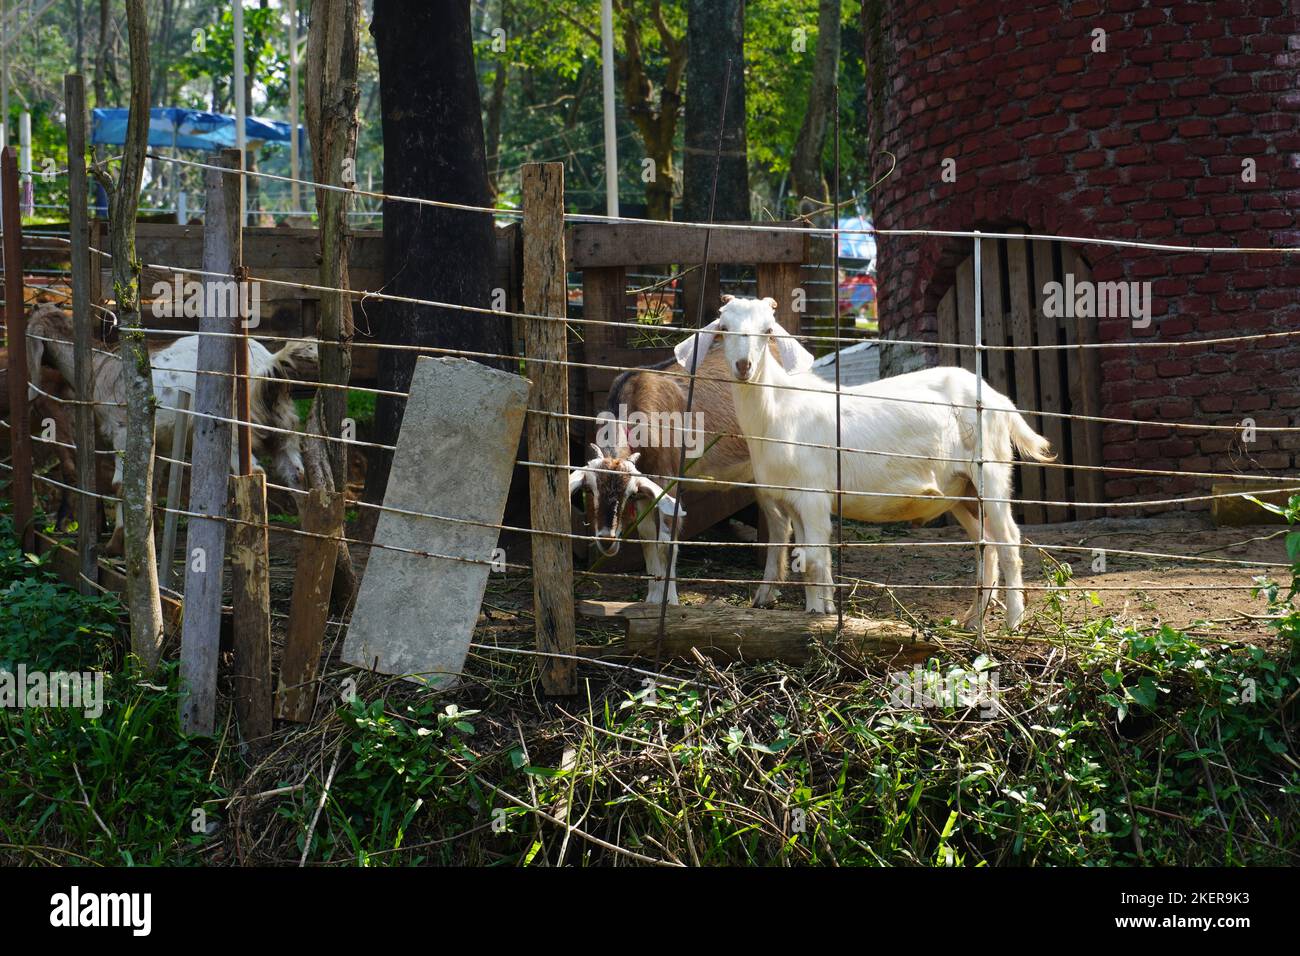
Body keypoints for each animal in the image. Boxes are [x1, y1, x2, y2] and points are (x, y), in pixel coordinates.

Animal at [25, 303, 317, 554]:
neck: (99, 365)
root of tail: (266, 365)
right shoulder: (160, 441)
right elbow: (149, 486)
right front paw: (146, 539)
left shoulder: (122, 429)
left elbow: (121, 486)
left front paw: (116, 545)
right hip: (284, 427)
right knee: (297, 476)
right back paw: (308, 540)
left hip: (235, 432)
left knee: (255, 473)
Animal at [571, 345, 795, 605]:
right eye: (590, 491)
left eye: (625, 494)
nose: (607, 540)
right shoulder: (646, 487)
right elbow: (647, 539)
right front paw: (652, 598)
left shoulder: (669, 478)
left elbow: (666, 543)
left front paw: (670, 601)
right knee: (780, 521)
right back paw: (766, 594)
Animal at [674, 295, 1054, 630]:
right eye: (724, 328)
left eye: (767, 330)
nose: (744, 367)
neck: (779, 410)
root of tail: (1000, 400)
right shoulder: (794, 501)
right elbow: (813, 559)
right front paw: (821, 608)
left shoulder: (813, 495)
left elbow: (814, 560)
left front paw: (817, 615)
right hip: (961, 490)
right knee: (985, 543)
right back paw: (974, 618)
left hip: (991, 471)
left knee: (1009, 541)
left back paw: (1013, 622)